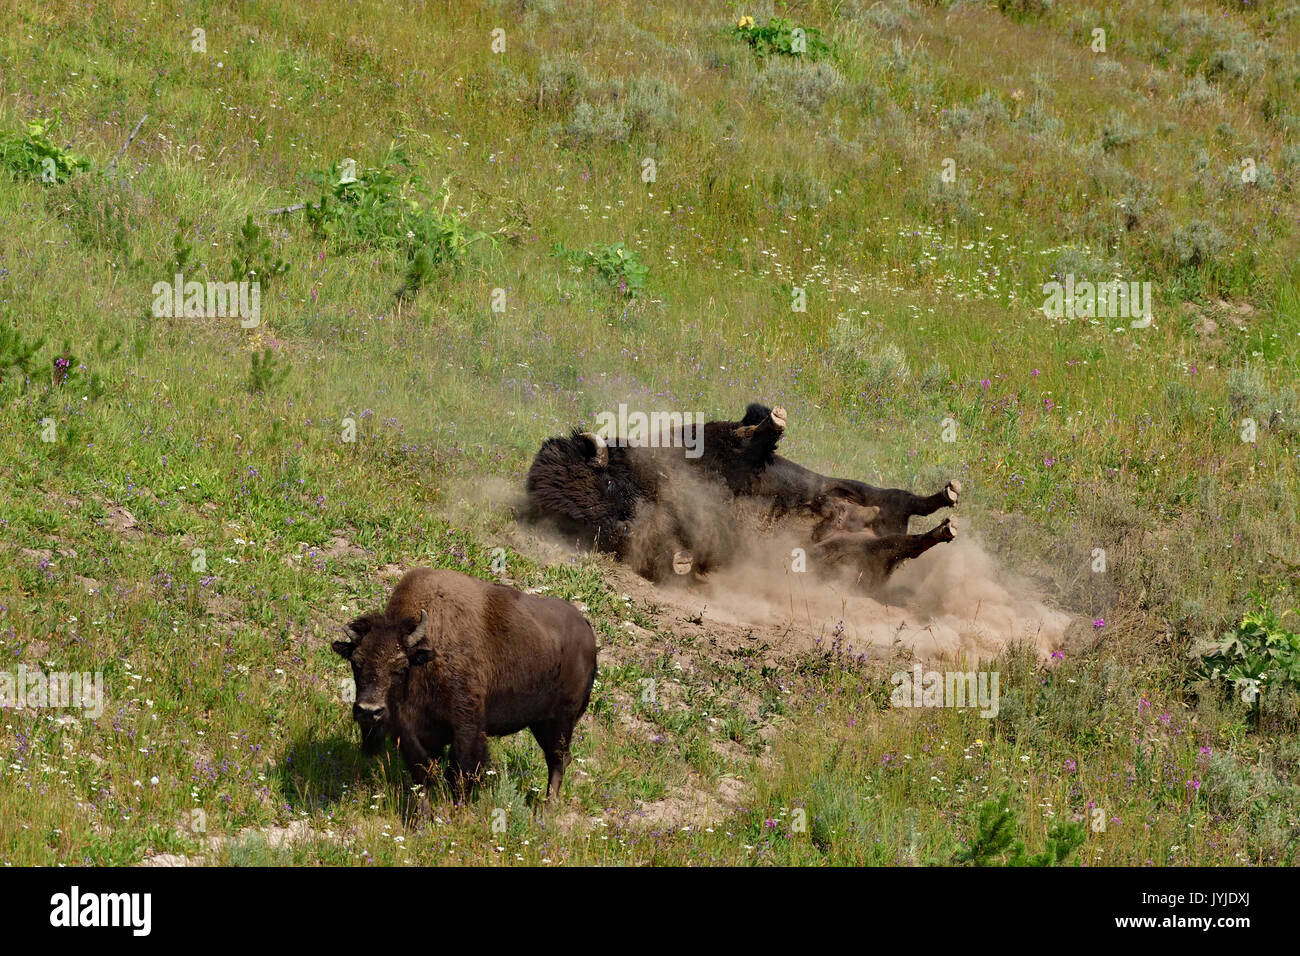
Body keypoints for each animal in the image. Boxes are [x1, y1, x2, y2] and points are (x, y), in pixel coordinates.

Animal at [332, 568, 598, 802]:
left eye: (400, 666)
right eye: (355, 662)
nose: (368, 711)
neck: (425, 657)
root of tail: (587, 630)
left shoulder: (467, 728)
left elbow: (460, 774)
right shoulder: (412, 734)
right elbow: (422, 776)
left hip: (561, 721)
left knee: (557, 760)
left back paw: (547, 809)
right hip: (541, 722)